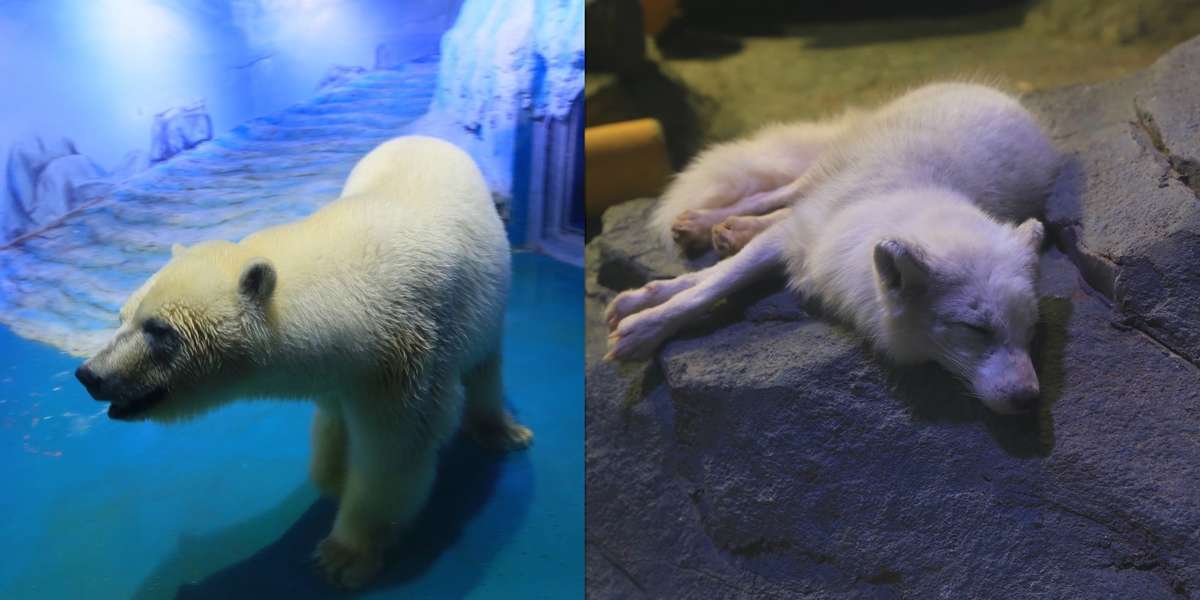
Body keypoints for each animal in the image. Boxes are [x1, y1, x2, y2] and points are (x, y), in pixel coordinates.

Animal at [74, 135, 533, 588]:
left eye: (159, 330)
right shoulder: (345, 371)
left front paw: (343, 556)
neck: (350, 297)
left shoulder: (408, 356)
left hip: (486, 299)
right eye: (122, 317)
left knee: (484, 368)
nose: (90, 375)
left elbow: (395, 450)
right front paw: (335, 478)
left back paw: (503, 431)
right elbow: (335, 425)